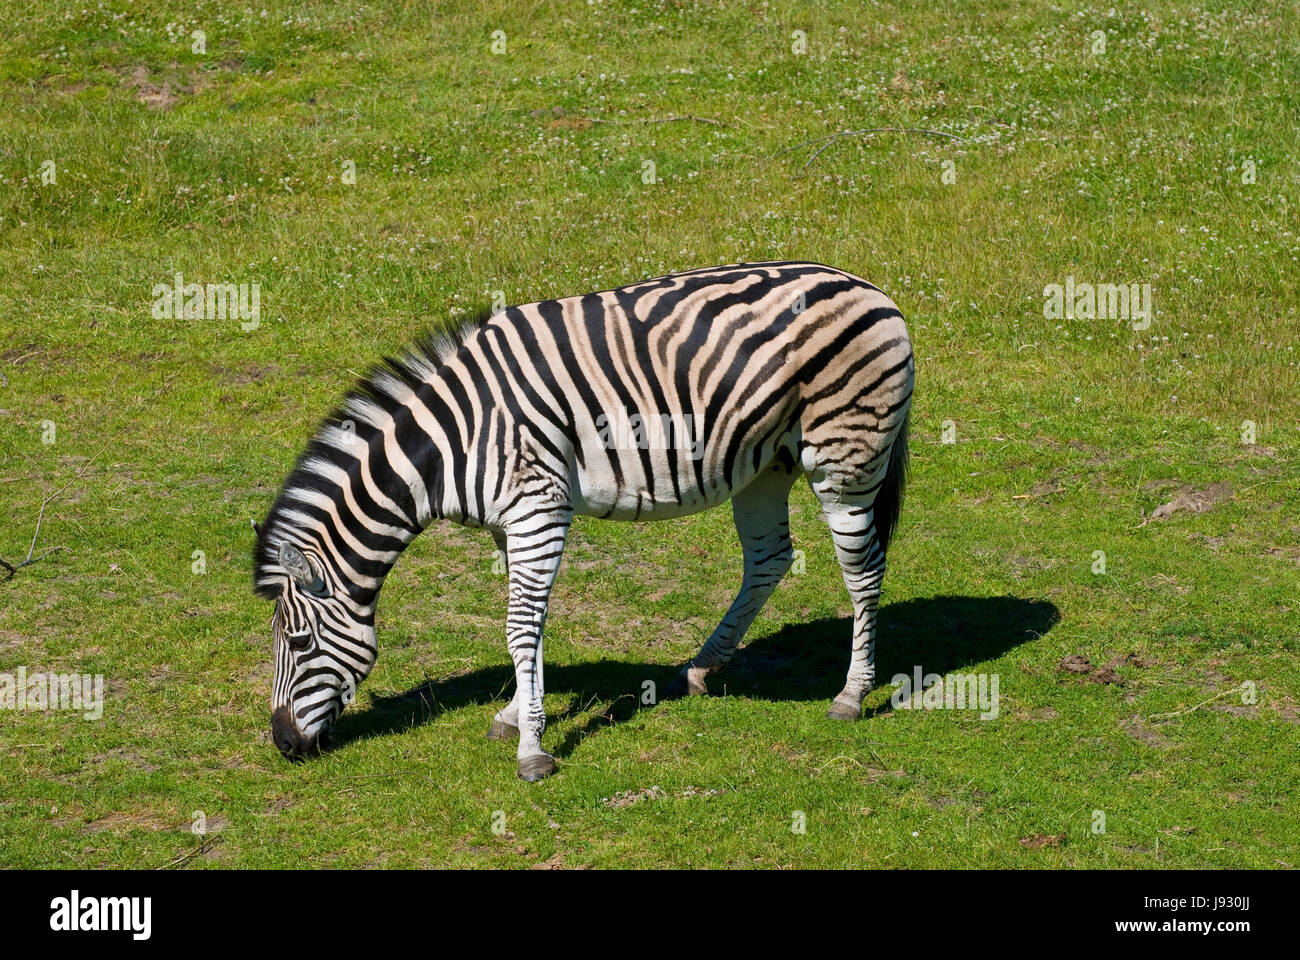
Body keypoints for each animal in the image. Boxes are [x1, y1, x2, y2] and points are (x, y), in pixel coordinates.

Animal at [253, 261, 914, 781]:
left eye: (298, 642)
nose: (283, 744)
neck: (453, 443)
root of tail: (874, 290)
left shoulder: (539, 508)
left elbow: (520, 625)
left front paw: (532, 750)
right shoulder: (513, 522)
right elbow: (531, 621)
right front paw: (519, 714)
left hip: (844, 459)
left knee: (864, 570)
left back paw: (851, 695)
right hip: (766, 464)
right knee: (770, 559)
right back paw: (702, 668)